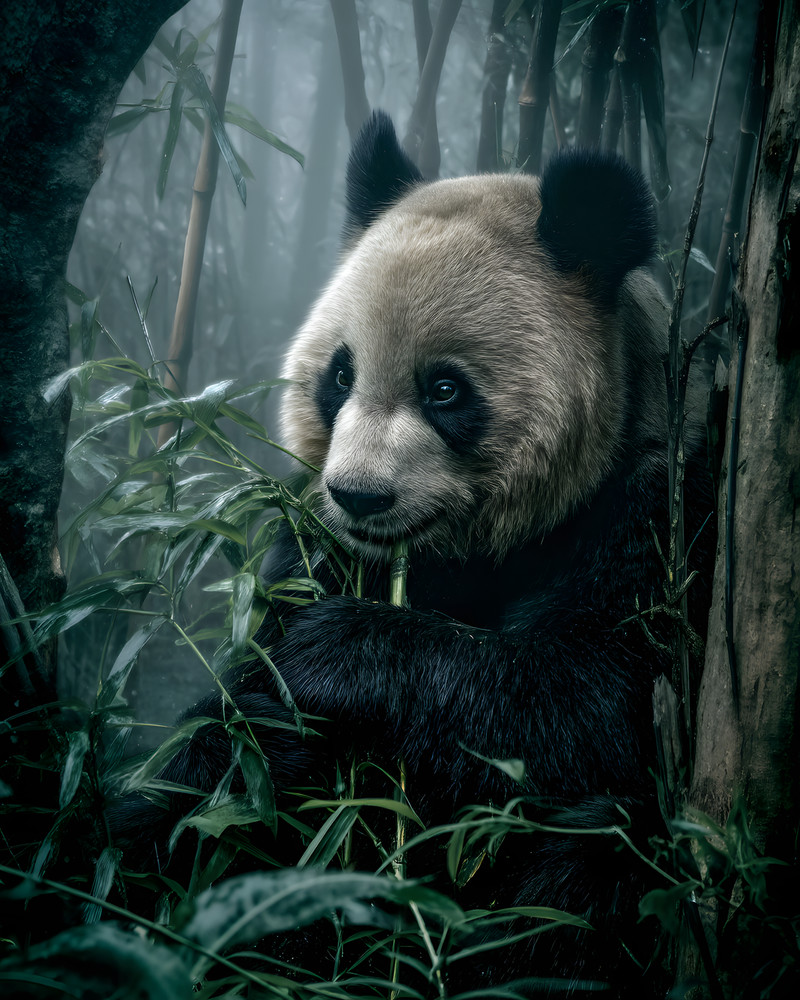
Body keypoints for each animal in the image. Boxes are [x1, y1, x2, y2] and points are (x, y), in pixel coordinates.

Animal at [114, 112, 712, 995]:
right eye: (339, 375)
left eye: (445, 389)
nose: (360, 496)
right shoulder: (314, 542)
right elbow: (234, 723)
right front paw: (279, 716)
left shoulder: (649, 506)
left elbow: (592, 702)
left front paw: (332, 656)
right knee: (179, 802)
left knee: (600, 862)